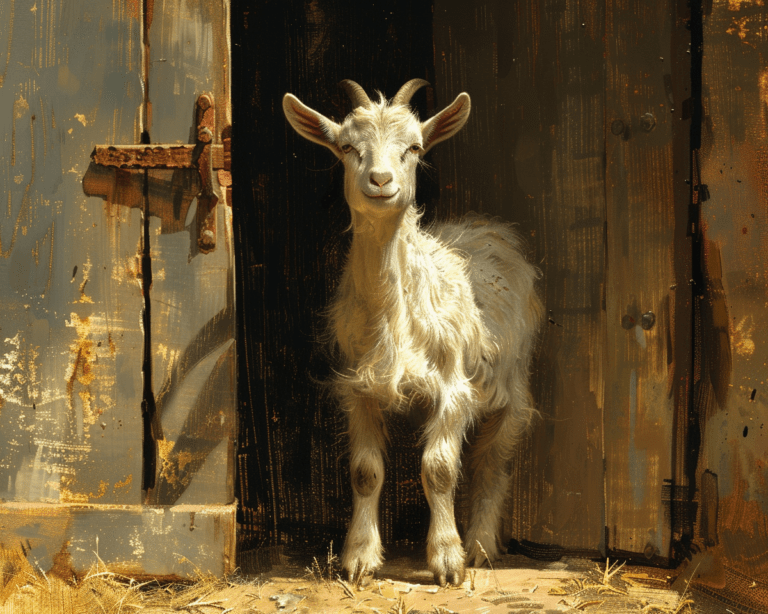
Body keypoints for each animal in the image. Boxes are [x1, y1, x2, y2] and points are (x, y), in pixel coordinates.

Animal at [283, 79, 542, 586]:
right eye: (347, 147)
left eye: (415, 147)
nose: (381, 181)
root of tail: (485, 225)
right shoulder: (357, 388)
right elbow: (365, 472)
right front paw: (360, 559)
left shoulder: (453, 388)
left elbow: (438, 469)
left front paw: (447, 560)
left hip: (512, 382)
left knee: (492, 462)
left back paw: (481, 545)